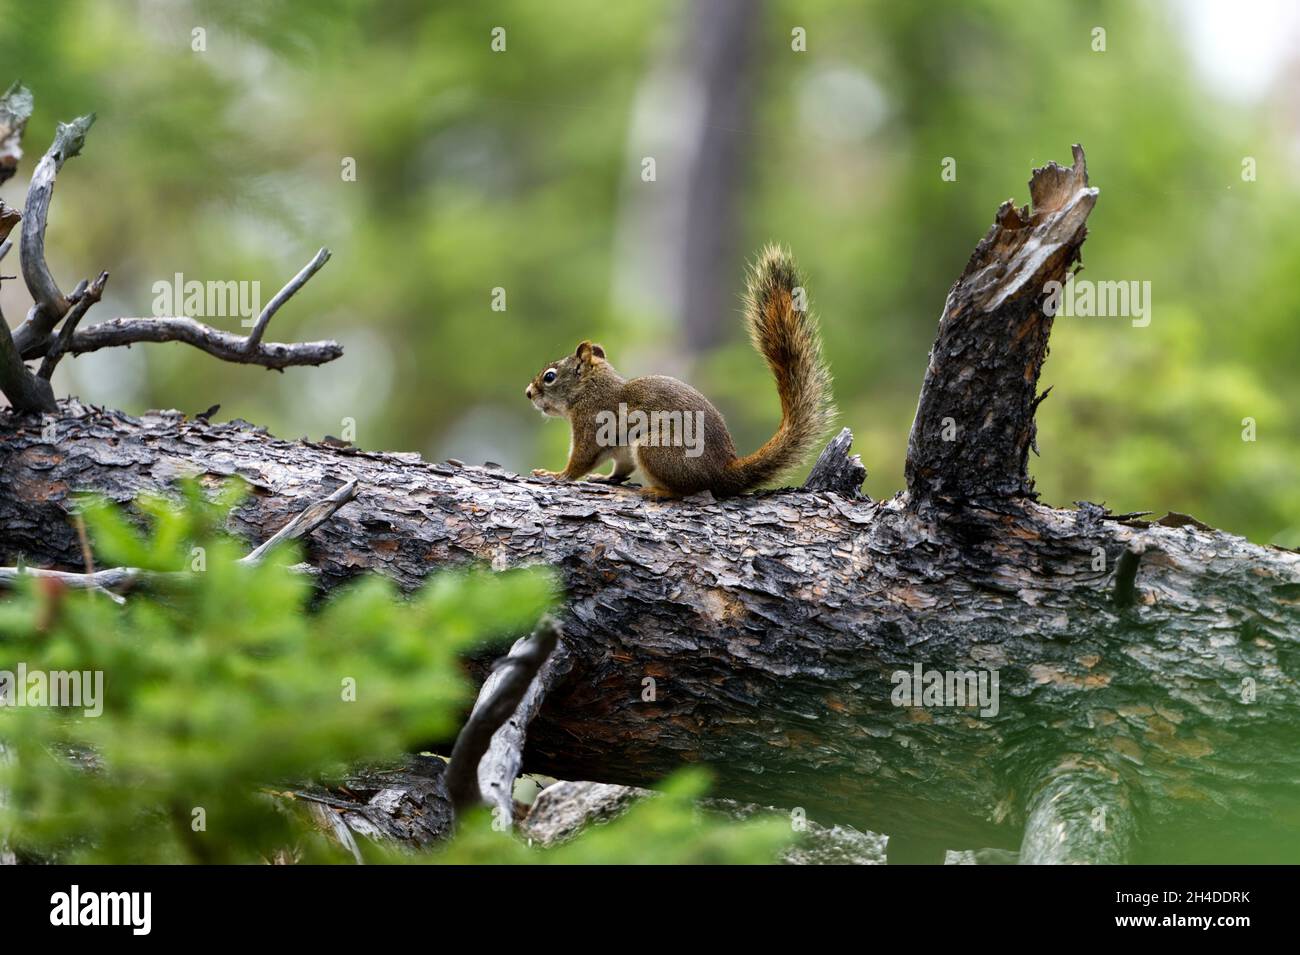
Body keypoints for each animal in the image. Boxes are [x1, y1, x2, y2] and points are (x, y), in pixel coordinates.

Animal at [525, 245, 835, 499]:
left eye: (550, 377)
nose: (528, 393)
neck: (591, 389)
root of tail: (722, 471)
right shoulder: (621, 451)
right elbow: (620, 469)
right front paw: (605, 478)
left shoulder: (592, 422)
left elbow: (580, 461)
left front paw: (556, 475)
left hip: (655, 447)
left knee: (688, 490)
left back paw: (656, 491)